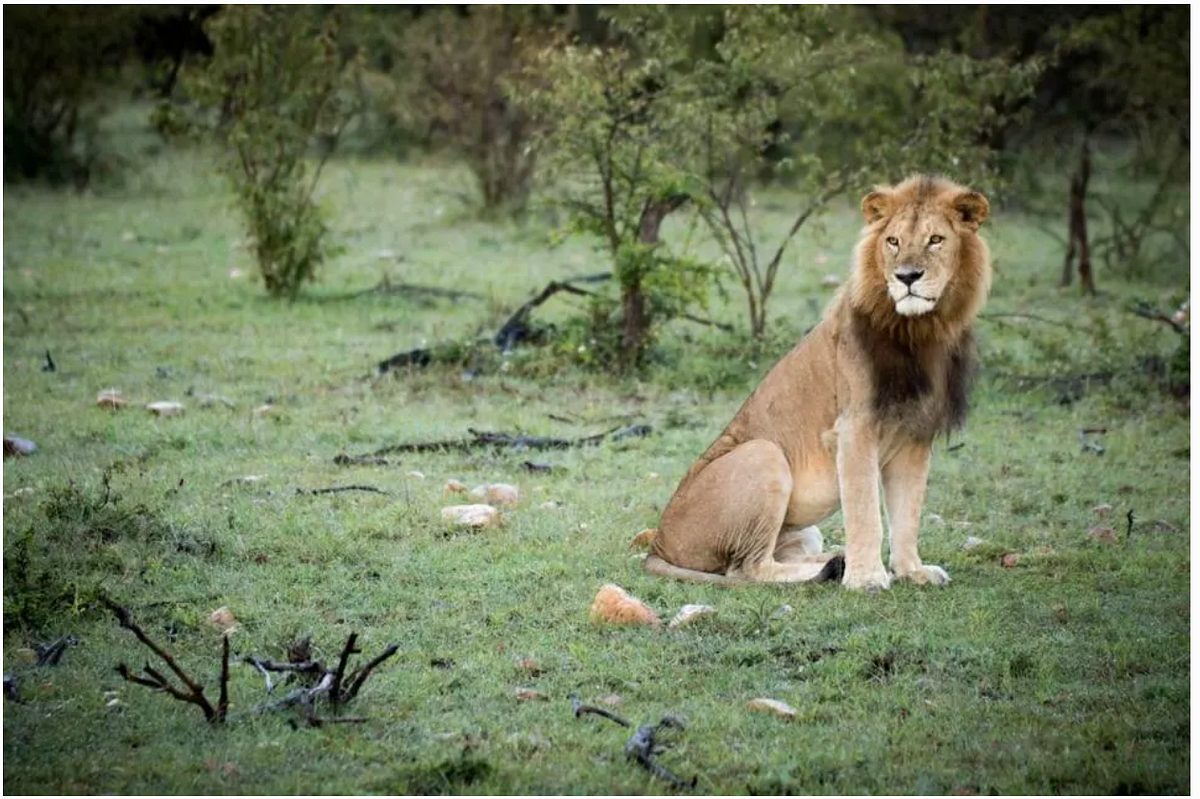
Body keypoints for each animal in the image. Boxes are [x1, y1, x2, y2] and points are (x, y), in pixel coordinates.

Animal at [644, 175, 991, 591]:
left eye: (935, 240)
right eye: (893, 242)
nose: (907, 277)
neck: (920, 330)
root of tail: (659, 545)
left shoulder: (915, 436)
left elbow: (908, 514)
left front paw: (912, 571)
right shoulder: (854, 429)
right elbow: (865, 512)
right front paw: (867, 579)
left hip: (802, 530)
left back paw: (834, 561)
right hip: (763, 453)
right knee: (748, 568)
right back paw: (832, 569)